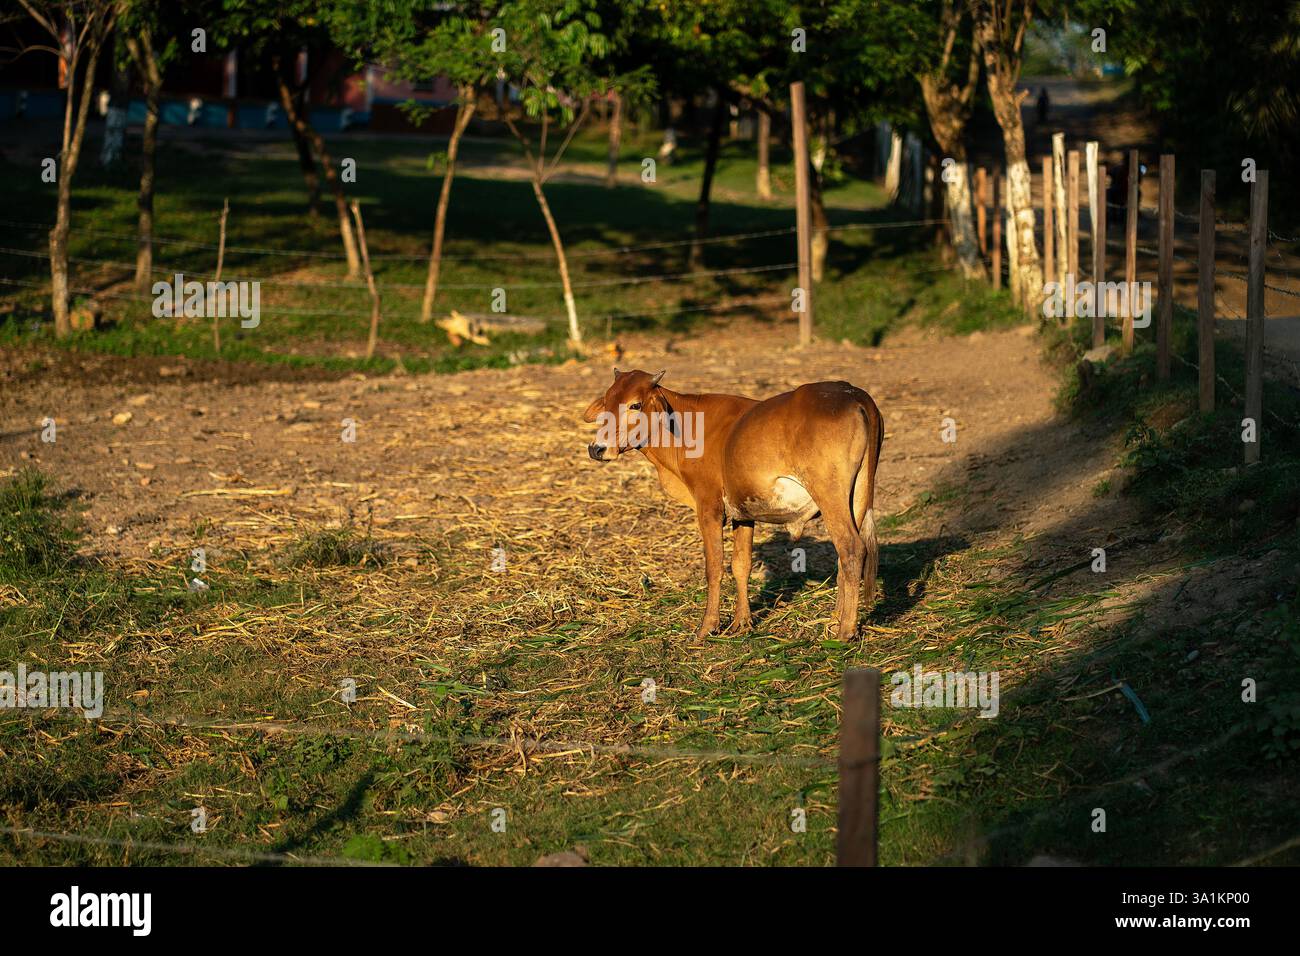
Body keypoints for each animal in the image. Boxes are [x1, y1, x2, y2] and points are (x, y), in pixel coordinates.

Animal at [583, 369, 884, 640]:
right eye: (607, 402)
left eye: (635, 405)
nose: (597, 449)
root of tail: (853, 393)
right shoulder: (743, 512)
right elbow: (741, 565)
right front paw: (742, 622)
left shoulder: (709, 505)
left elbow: (714, 566)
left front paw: (707, 627)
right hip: (857, 496)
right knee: (846, 557)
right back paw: (834, 621)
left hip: (830, 494)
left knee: (851, 548)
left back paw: (844, 631)